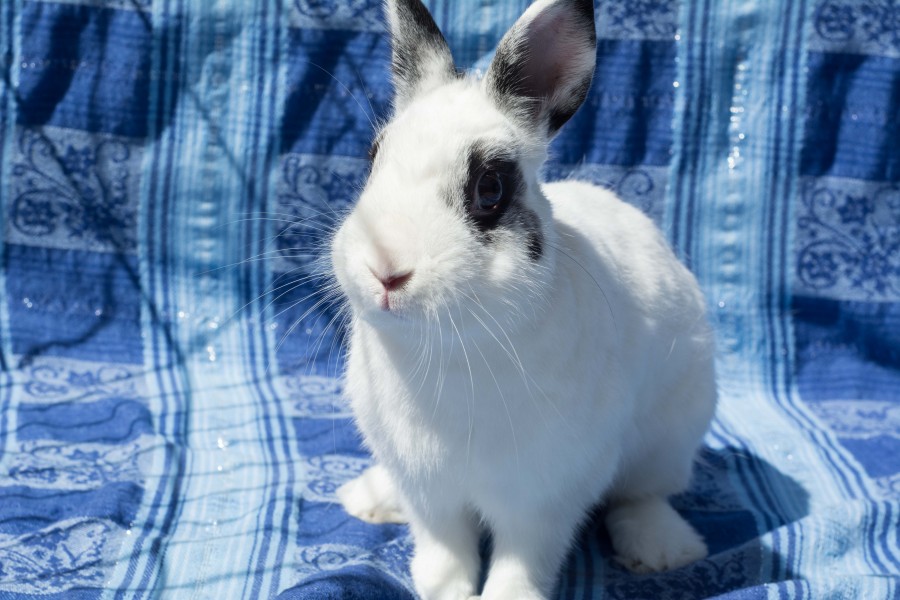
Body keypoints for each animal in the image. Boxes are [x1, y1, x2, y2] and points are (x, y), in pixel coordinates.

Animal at [329, 0, 717, 598]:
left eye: (490, 188)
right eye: (373, 159)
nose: (385, 272)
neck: (450, 347)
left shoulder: (544, 498)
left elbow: (523, 558)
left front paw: (505, 594)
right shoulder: (429, 490)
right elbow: (444, 546)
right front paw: (443, 589)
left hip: (670, 437)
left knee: (641, 494)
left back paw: (663, 551)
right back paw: (369, 498)